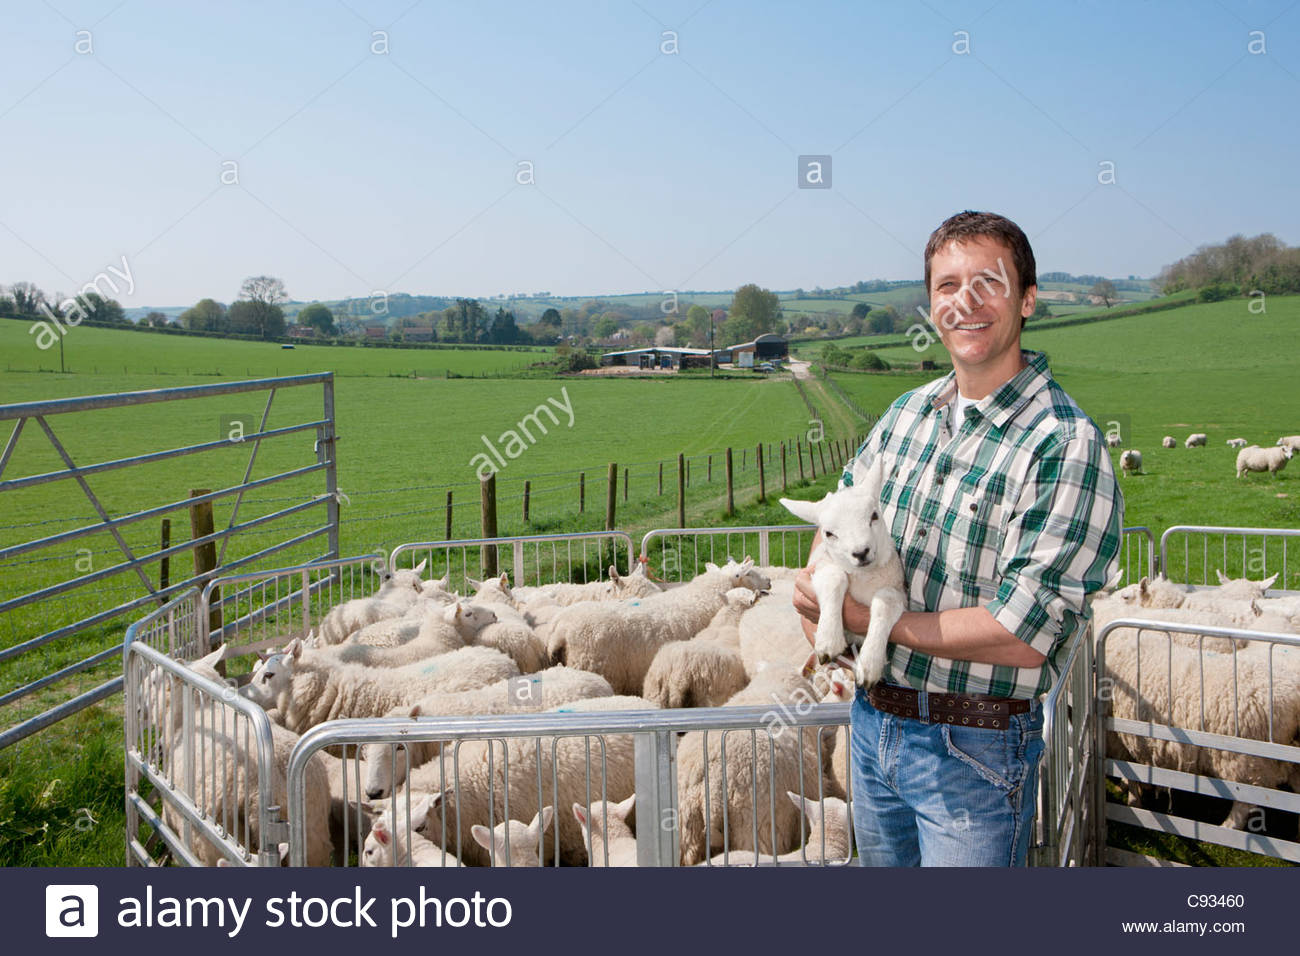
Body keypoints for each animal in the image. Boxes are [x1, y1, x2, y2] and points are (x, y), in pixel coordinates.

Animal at [779, 454, 905, 687]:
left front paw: (870, 663)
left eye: (874, 516)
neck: (864, 576)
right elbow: (834, 578)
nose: (861, 552)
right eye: (828, 533)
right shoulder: (821, 566)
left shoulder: (898, 589)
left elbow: (886, 601)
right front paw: (829, 640)